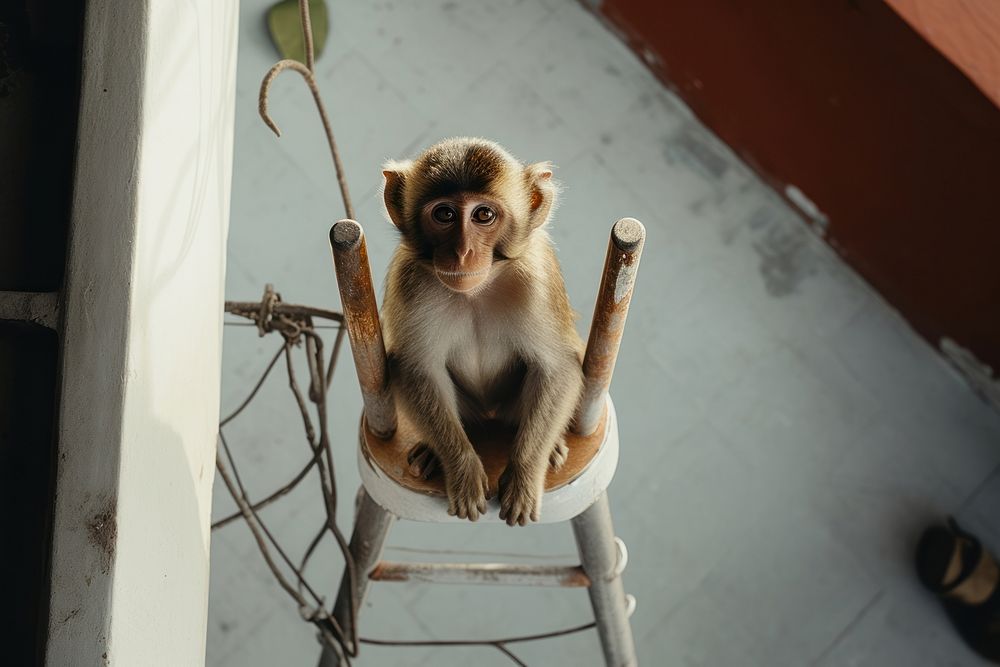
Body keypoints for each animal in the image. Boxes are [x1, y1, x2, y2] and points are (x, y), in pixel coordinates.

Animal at [380, 137, 584, 526]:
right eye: (444, 215)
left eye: (483, 215)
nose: (463, 252)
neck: (476, 291)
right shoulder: (409, 281)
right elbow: (417, 368)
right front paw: (463, 471)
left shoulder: (536, 278)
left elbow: (557, 367)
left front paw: (523, 477)